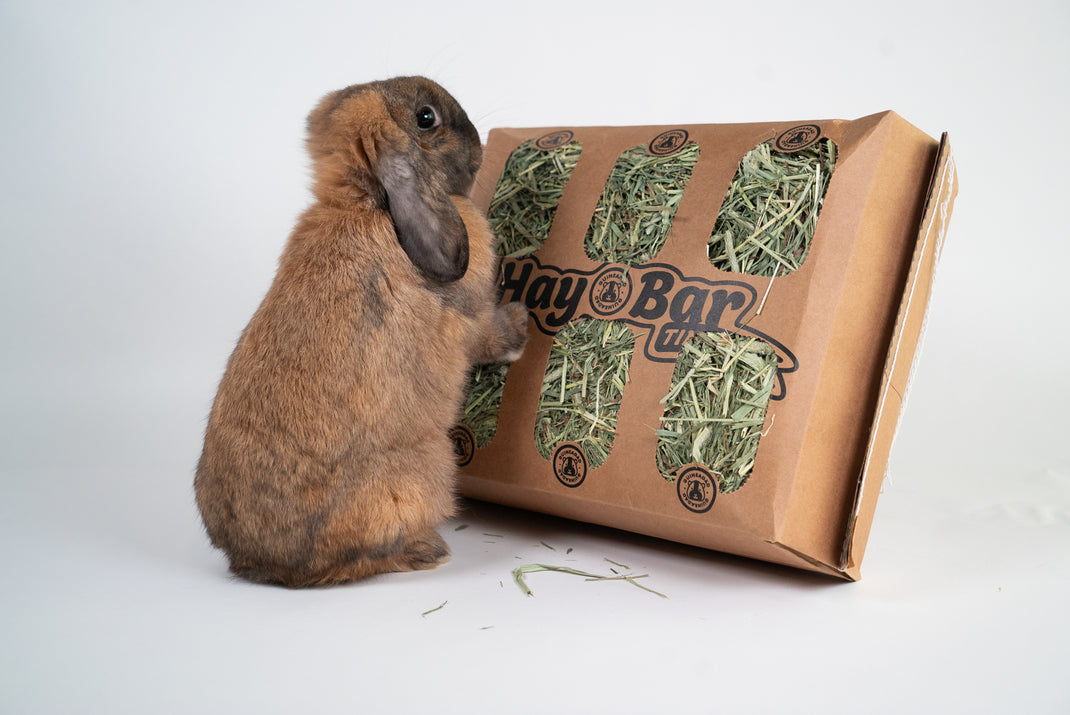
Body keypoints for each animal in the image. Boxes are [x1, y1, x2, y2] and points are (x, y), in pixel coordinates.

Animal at [194, 76, 529, 588]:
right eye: (426, 118)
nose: (478, 144)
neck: (370, 204)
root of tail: (271, 567)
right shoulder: (471, 320)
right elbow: (490, 337)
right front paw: (523, 328)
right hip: (422, 473)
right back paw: (429, 553)